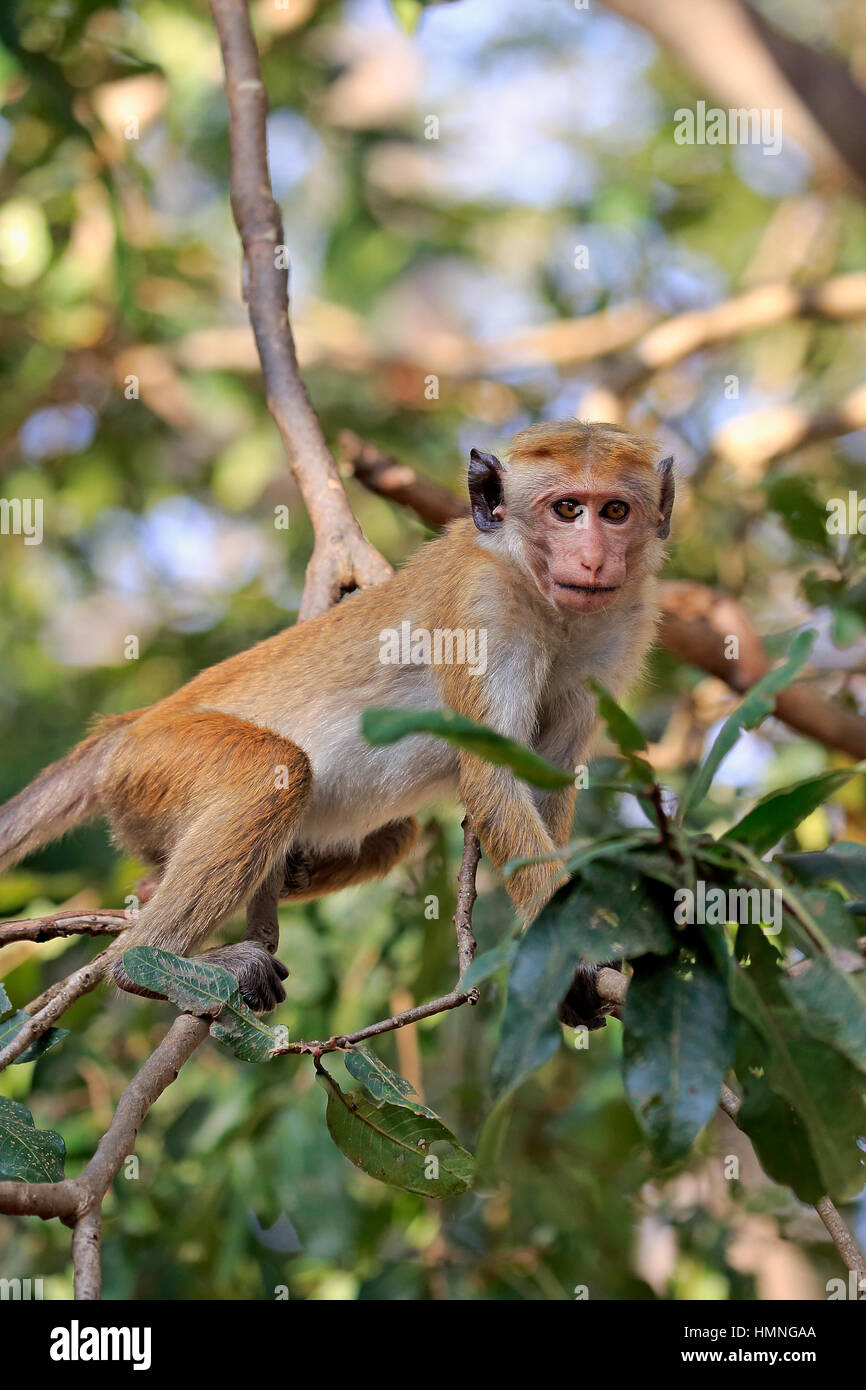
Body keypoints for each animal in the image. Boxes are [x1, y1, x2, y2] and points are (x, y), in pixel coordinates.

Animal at [0, 420, 673, 1025]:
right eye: (566, 509)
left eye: (615, 511)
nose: (594, 559)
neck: (540, 594)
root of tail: (129, 725)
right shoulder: (482, 608)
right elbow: (493, 777)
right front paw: (575, 955)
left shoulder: (626, 625)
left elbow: (547, 778)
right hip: (156, 759)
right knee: (274, 771)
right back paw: (150, 960)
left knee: (394, 834)